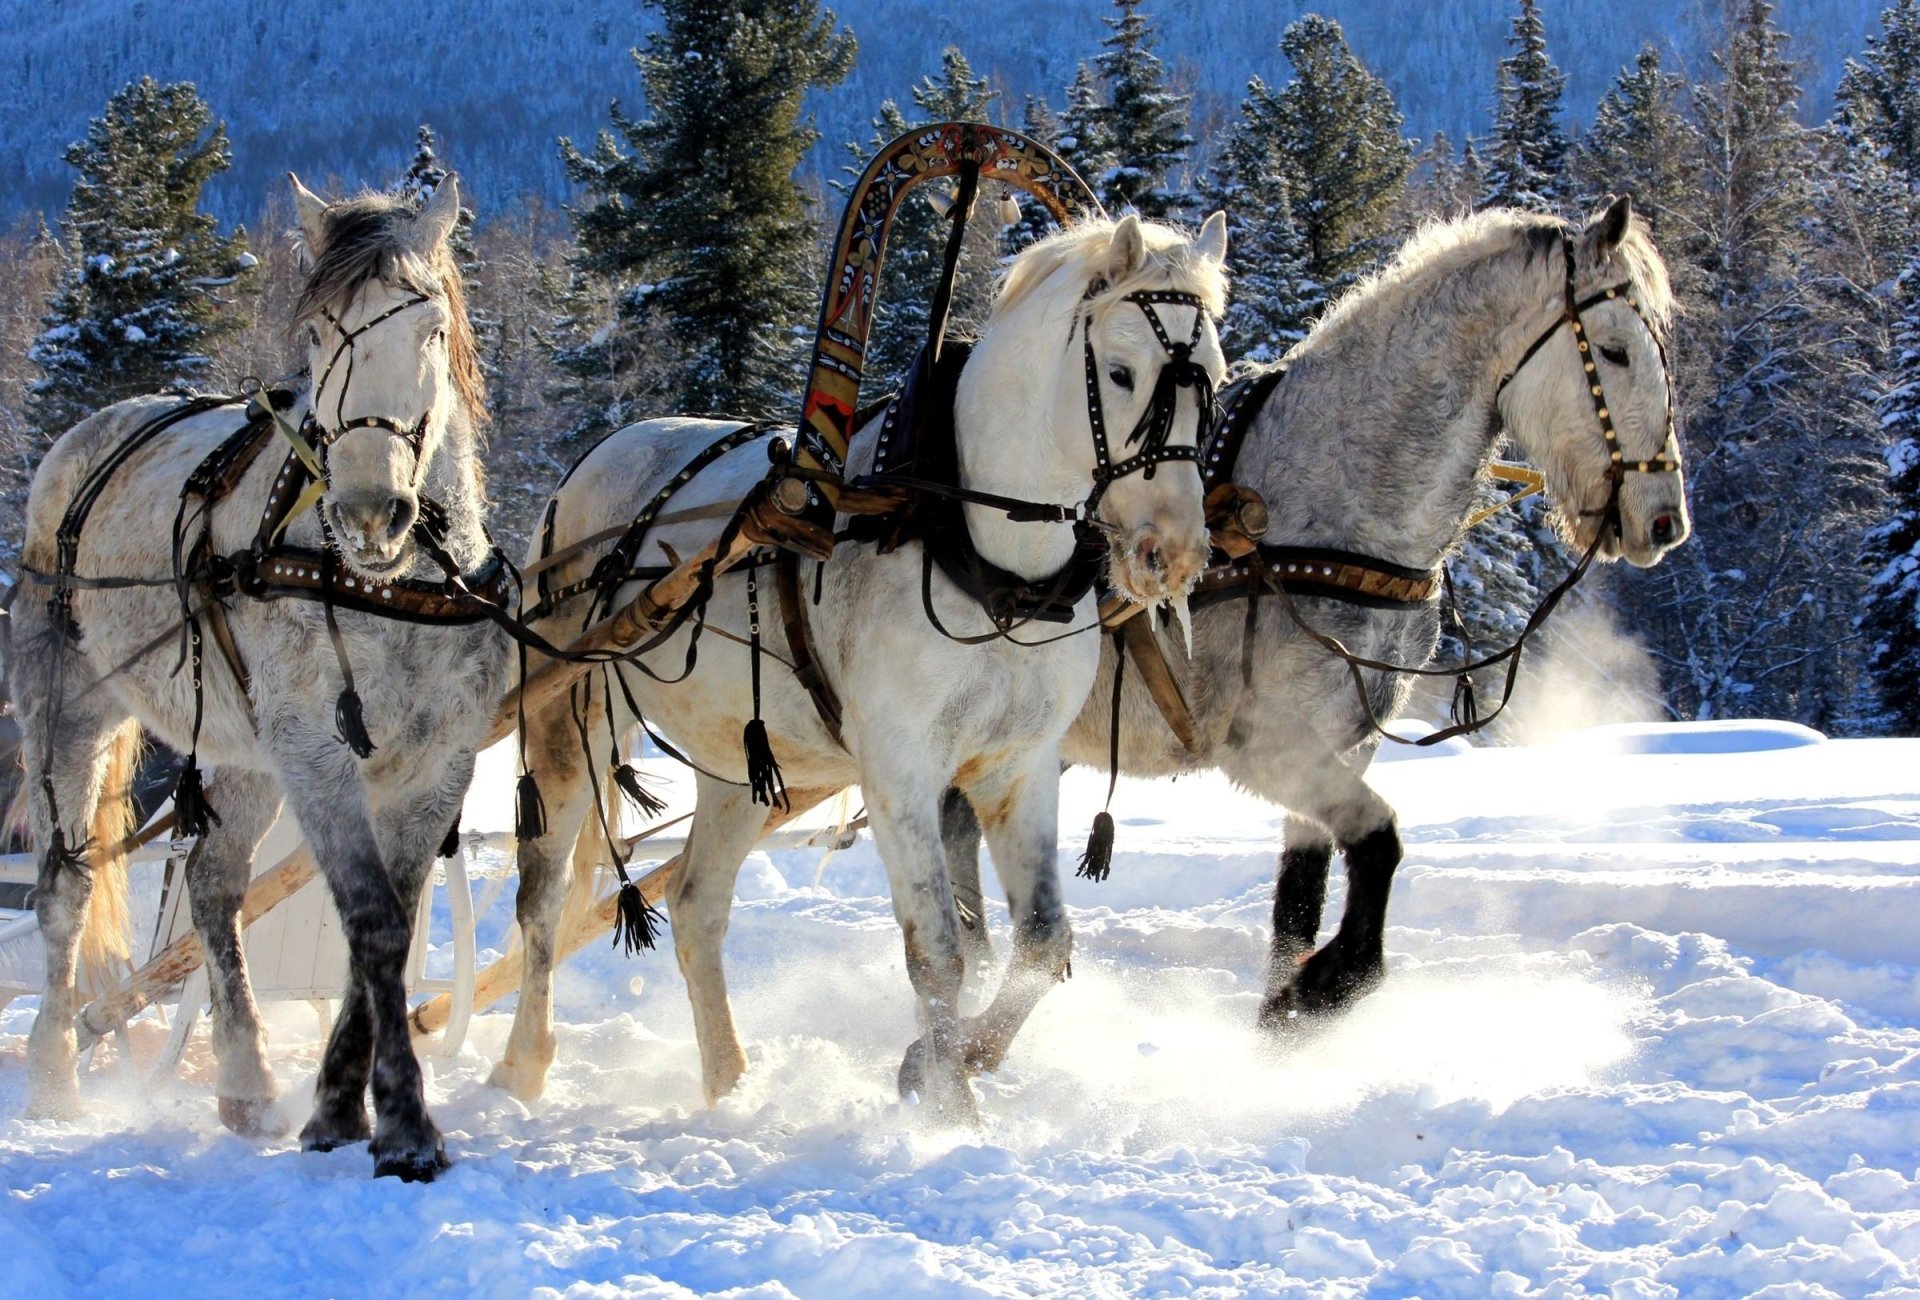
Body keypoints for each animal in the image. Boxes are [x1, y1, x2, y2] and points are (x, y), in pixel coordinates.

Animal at [11, 177, 510, 1181]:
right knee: (65, 890)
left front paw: (337, 1107)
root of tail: (88, 435)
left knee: (211, 883)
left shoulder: (435, 761)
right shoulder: (316, 750)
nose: (369, 510)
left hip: (238, 749)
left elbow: (386, 922)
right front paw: (401, 1124)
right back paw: (53, 1074)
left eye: (429, 326)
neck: (387, 583)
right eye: (318, 331)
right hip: (65, 710)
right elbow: (373, 919)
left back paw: (243, 1082)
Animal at [493, 212, 1229, 1123]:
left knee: (697, 906)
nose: (1175, 553)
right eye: (1123, 373)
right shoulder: (900, 770)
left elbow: (1041, 943)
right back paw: (522, 1067)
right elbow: (939, 952)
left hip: (742, 764)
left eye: (1215, 380)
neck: (984, 557)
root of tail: (598, 455)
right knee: (541, 898)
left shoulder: (1018, 768)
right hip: (571, 720)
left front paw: (956, 1060)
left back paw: (729, 1081)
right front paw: (949, 1110)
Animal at [944, 197, 1691, 1026]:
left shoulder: (1343, 744)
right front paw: (1331, 982)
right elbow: (1380, 843)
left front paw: (1282, 1016)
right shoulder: (1267, 745)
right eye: (1616, 350)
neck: (1333, 508)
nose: (1663, 518)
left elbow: (1299, 902)